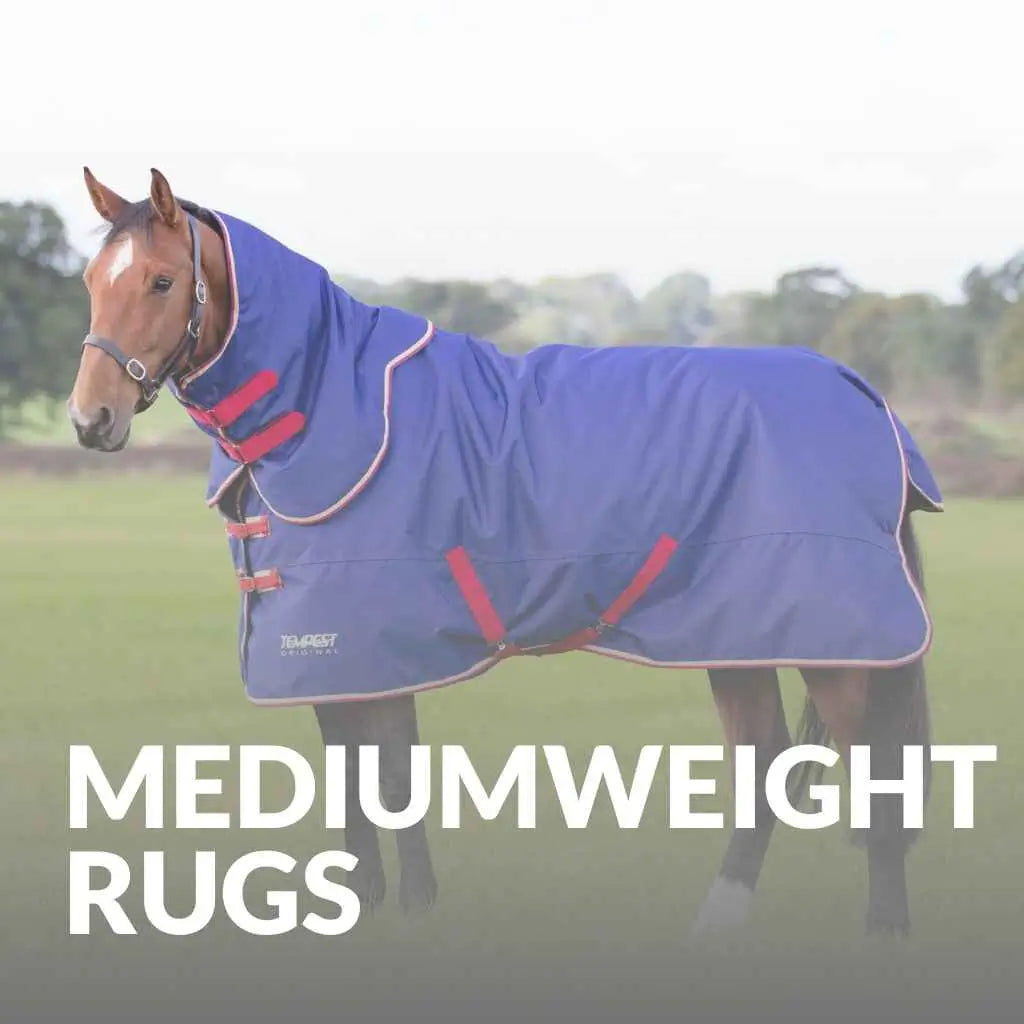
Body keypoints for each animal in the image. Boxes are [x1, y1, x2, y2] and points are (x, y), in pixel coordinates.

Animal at [67, 167, 941, 937]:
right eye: (91, 281)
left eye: (160, 282)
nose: (89, 419)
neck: (321, 405)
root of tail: (864, 397)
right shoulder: (324, 654)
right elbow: (350, 779)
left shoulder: (383, 647)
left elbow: (391, 779)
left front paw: (418, 913)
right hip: (738, 634)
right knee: (763, 762)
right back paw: (718, 922)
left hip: (838, 646)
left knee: (874, 773)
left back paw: (884, 930)